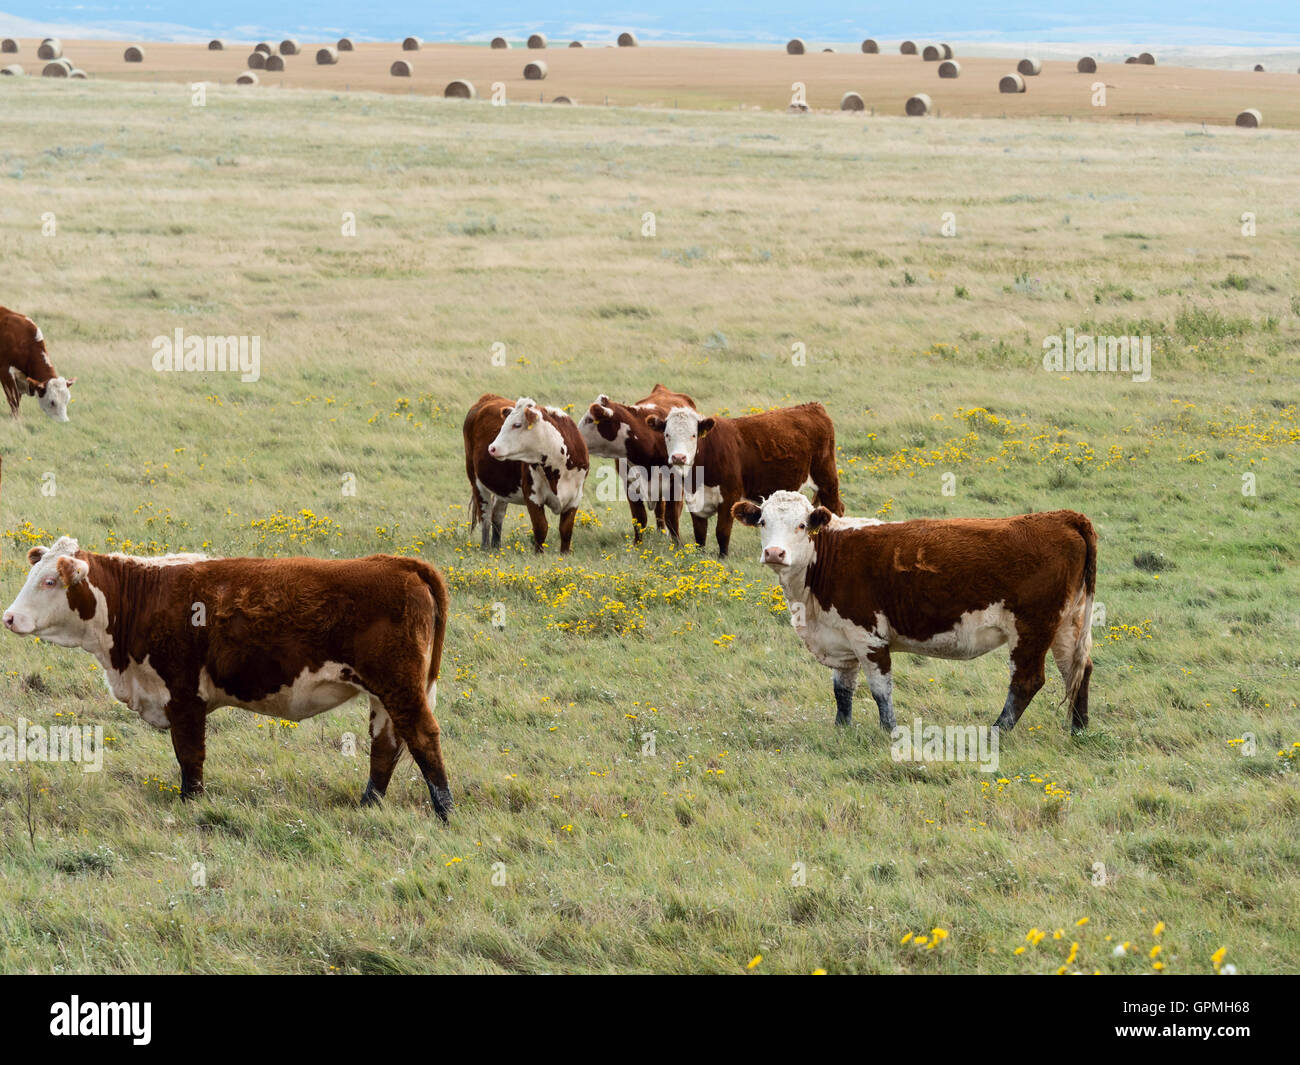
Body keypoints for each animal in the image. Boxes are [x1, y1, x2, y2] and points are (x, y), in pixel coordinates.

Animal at [2, 538, 456, 819]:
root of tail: (401, 564)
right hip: (385, 694)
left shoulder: (184, 695)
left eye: (50, 581)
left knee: (422, 738)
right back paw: (368, 806)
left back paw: (445, 811)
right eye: (33, 576)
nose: (9, 617)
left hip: (401, 687)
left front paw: (192, 803)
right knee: (386, 747)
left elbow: (190, 756)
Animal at [464, 394, 589, 554]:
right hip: (476, 481)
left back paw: (497, 548)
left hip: (503, 488)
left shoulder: (575, 497)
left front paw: (564, 554)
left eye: (517, 425)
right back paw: (486, 548)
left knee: (497, 515)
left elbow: (566, 529)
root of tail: (488, 397)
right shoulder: (532, 495)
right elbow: (541, 527)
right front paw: (539, 554)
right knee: (485, 517)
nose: (492, 448)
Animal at [578, 383, 695, 544]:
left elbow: (672, 518)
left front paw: (677, 545)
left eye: (590, 419)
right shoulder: (630, 485)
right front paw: (637, 544)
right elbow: (639, 518)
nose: (574, 434)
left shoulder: (675, 485)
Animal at [646, 402, 843, 558]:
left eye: (693, 435)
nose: (679, 457)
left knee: (836, 509)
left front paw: (723, 557)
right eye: (667, 435)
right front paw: (700, 555)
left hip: (826, 479)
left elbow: (722, 531)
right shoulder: (694, 499)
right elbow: (700, 534)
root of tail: (812, 406)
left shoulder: (729, 496)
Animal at [732, 491, 1097, 733]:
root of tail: (1061, 517)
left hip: (1031, 628)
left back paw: (996, 732)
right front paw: (842, 730)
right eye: (762, 521)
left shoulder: (869, 637)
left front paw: (889, 731)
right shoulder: (841, 641)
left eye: (801, 525)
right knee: (1077, 669)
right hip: (1067, 624)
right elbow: (843, 691)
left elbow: (881, 689)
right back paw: (1078, 729)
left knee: (1027, 681)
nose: (774, 553)